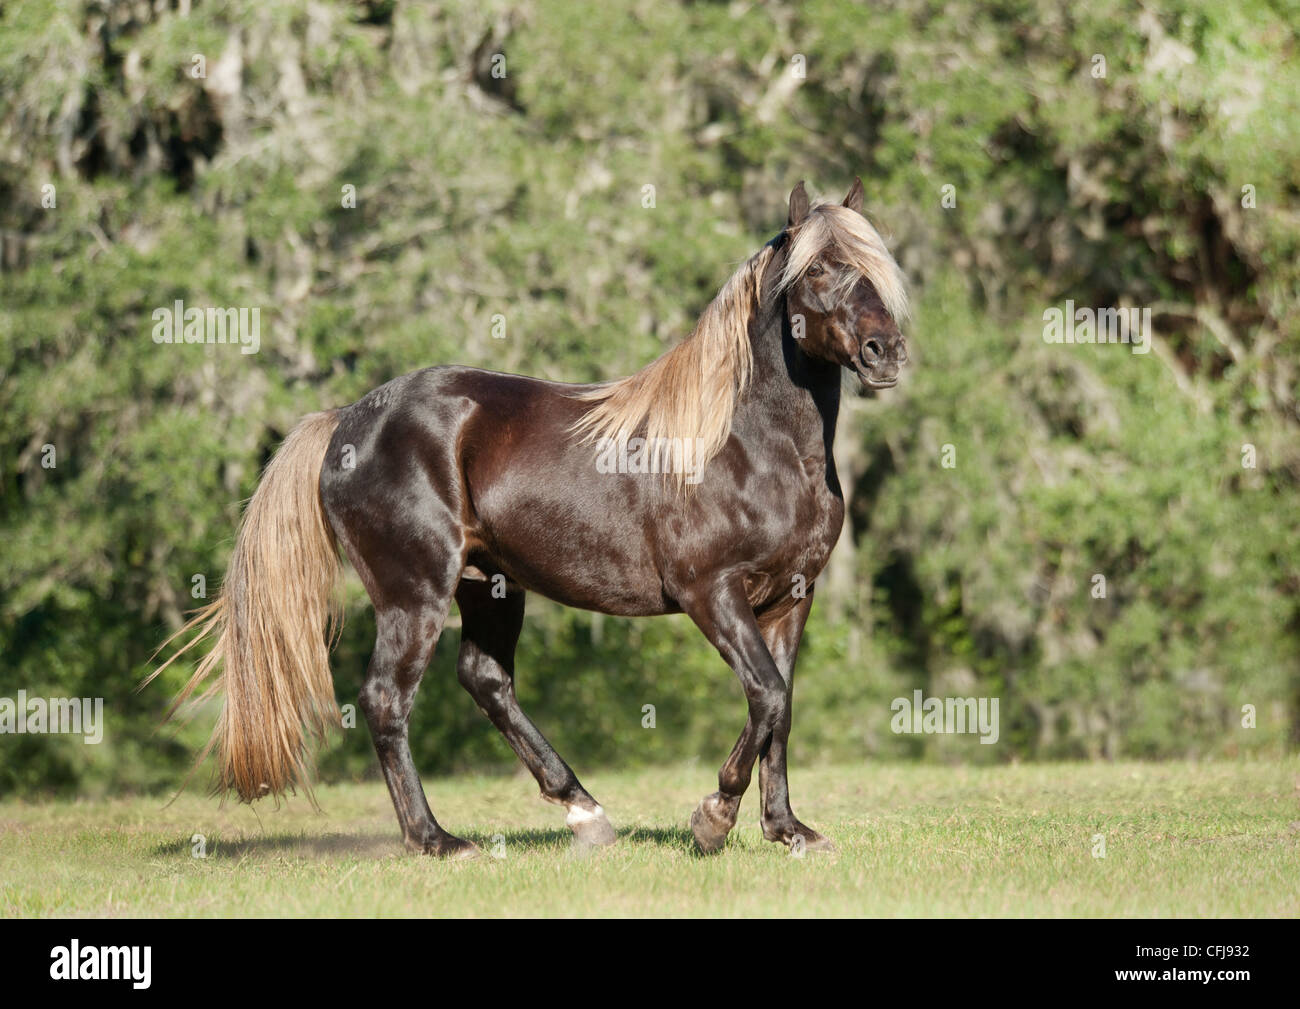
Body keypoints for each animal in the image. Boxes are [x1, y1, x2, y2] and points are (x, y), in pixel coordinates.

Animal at [148, 180, 910, 858]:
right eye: (819, 268)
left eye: (878, 264)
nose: (887, 352)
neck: (744, 444)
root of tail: (345, 421)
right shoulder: (711, 592)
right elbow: (768, 695)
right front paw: (714, 818)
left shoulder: (789, 599)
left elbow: (780, 707)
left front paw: (789, 830)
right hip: (414, 595)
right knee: (386, 698)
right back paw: (436, 840)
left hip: (489, 585)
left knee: (485, 680)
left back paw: (585, 813)